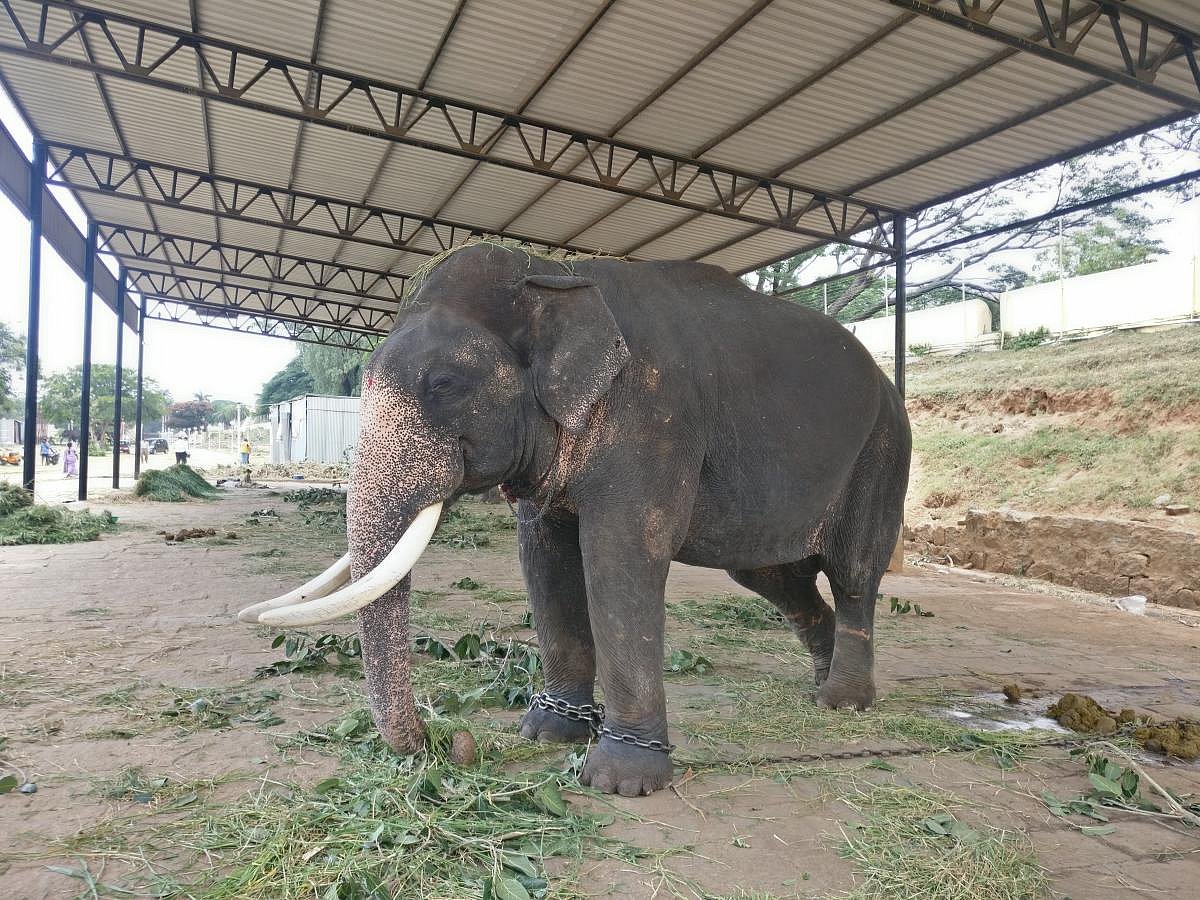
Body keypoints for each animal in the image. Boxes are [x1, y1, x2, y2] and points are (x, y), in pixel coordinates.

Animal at [239, 242, 910, 797]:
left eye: (445, 383)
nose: (451, 743)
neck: (552, 277)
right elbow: (544, 557)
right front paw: (545, 733)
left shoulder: (653, 415)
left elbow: (619, 554)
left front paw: (620, 781)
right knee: (774, 578)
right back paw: (821, 686)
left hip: (882, 452)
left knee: (852, 572)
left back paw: (846, 703)